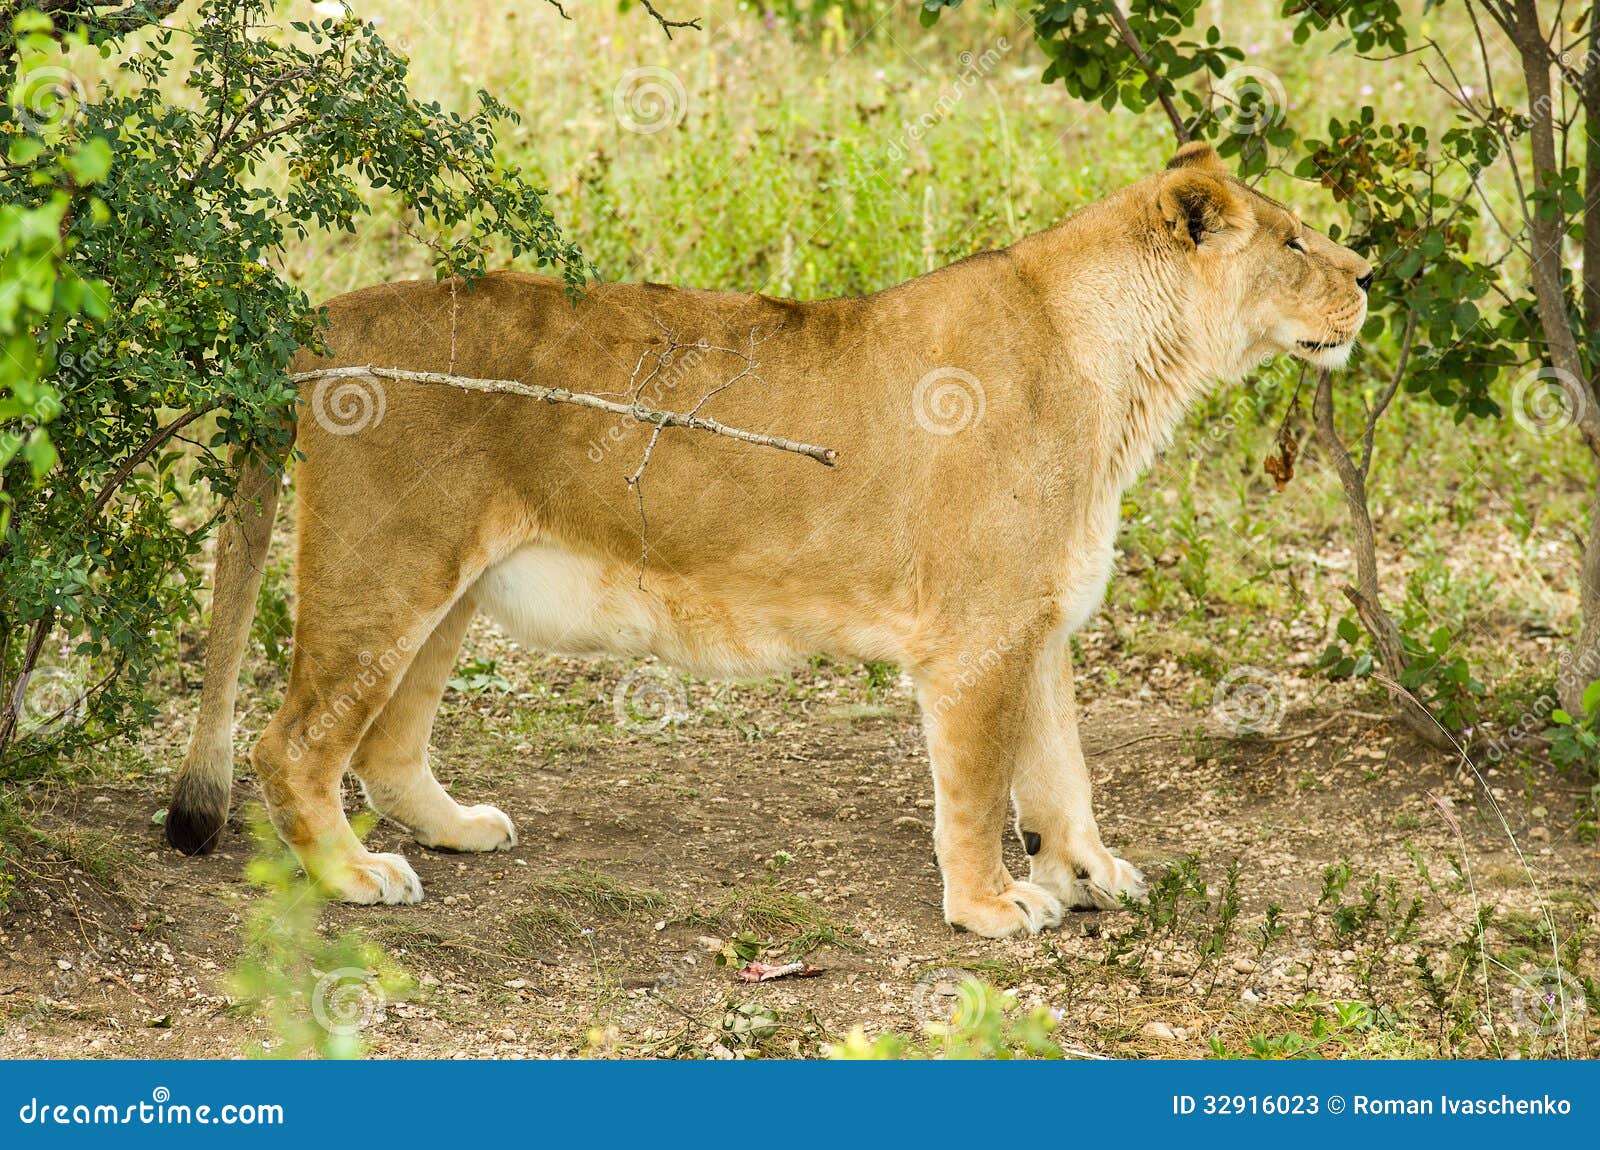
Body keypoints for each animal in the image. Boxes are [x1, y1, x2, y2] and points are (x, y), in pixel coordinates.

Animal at [164, 142, 1371, 938]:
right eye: (1294, 241)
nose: (1365, 278)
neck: (1123, 372)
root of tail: (324, 318)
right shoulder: (976, 634)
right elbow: (982, 787)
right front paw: (990, 904)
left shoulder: (1040, 617)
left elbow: (1062, 771)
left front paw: (1092, 870)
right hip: (386, 570)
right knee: (294, 742)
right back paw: (353, 877)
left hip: (448, 584)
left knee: (382, 742)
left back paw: (456, 828)